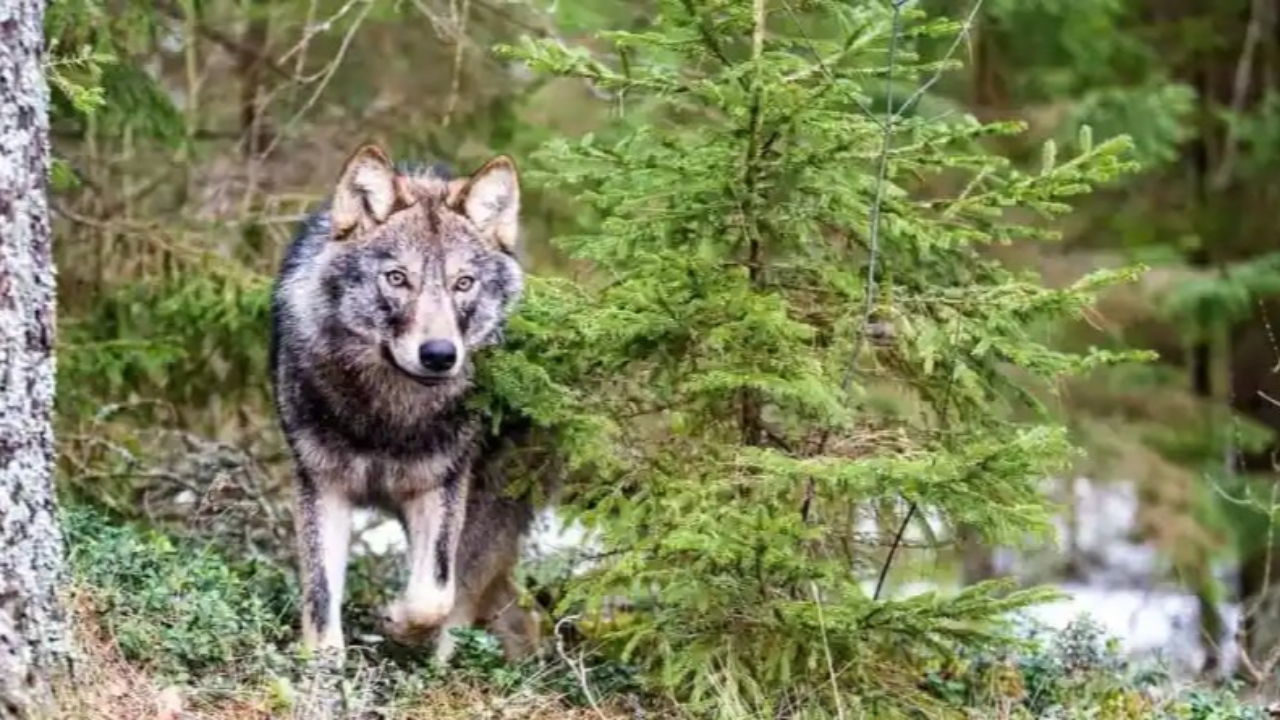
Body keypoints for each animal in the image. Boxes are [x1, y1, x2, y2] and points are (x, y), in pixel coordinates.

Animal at [269, 143, 541, 664]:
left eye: (463, 283)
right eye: (397, 278)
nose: (439, 354)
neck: (389, 416)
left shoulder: (442, 486)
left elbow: (433, 595)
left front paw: (395, 622)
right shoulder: (322, 484)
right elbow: (320, 595)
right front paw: (324, 667)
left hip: (484, 513)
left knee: (469, 599)